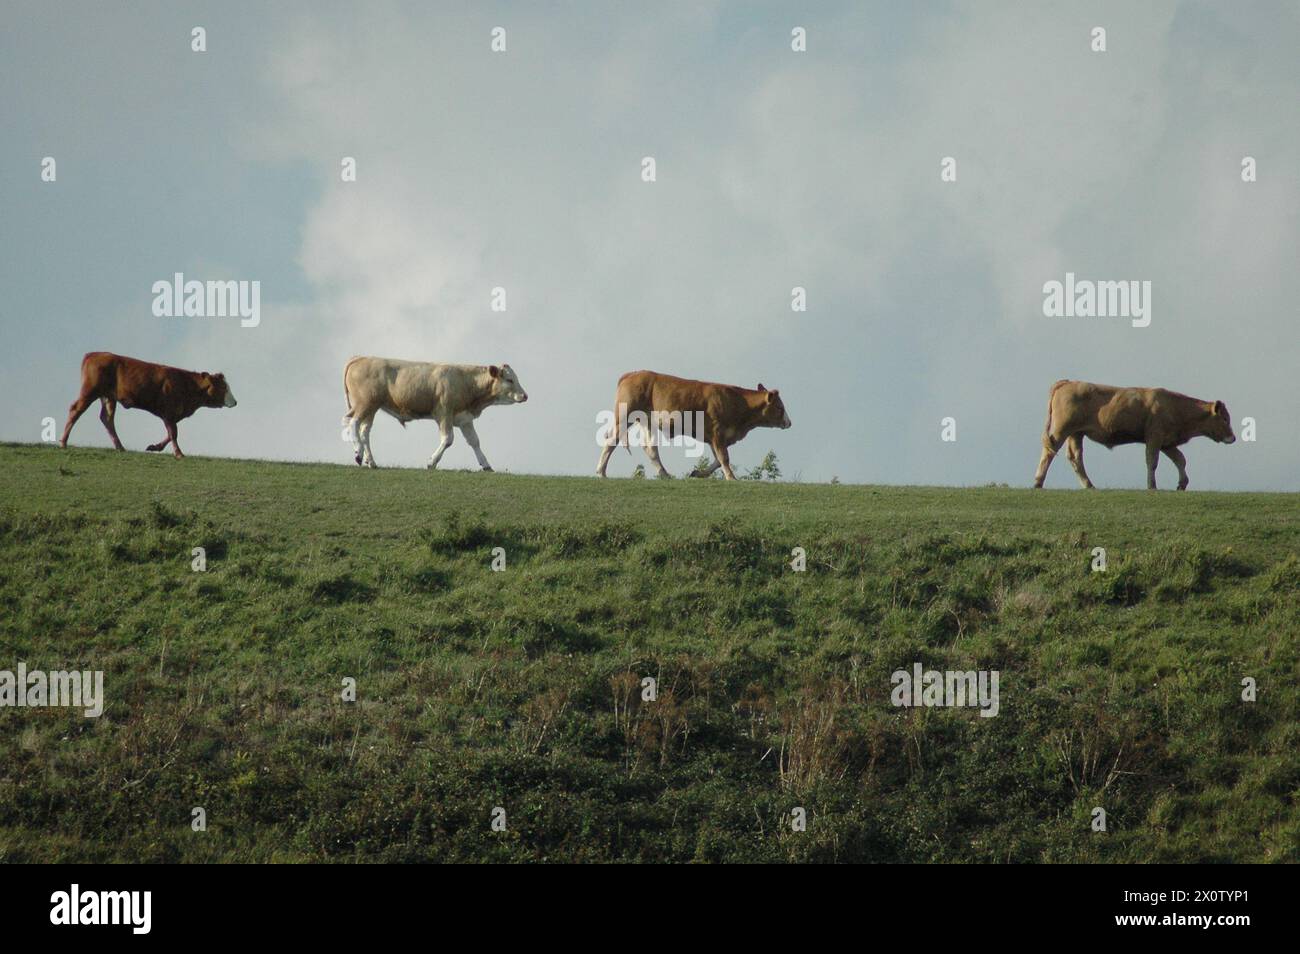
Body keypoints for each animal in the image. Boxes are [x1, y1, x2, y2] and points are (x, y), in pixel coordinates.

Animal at [60, 352, 237, 459]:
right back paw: (63, 442)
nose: (235, 402)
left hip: (109, 397)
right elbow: (173, 433)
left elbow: (170, 434)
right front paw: (178, 453)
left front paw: (154, 447)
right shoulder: (169, 412)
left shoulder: (171, 415)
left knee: (107, 419)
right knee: (76, 410)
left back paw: (120, 447)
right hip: (90, 391)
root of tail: (94, 354)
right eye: (223, 387)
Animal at [343, 357, 528, 470]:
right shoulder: (444, 413)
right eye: (510, 379)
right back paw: (358, 453)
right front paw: (431, 462)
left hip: (372, 408)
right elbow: (448, 439)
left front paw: (486, 464)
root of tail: (361, 357)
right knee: (352, 423)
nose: (525, 396)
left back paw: (371, 461)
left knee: (364, 431)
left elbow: (475, 441)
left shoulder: (464, 418)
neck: (465, 381)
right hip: (364, 404)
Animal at [596, 370, 791, 480]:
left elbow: (717, 461)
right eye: (780, 407)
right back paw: (601, 472)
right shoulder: (717, 432)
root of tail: (633, 373)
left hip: (646, 419)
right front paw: (731, 477)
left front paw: (699, 473)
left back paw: (665, 474)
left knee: (650, 447)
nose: (789, 422)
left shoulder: (714, 437)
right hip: (624, 415)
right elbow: (724, 458)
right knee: (611, 441)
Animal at [1033, 379, 1235, 490]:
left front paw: (1182, 484)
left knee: (1075, 458)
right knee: (1049, 452)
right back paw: (1038, 482)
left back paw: (1089, 485)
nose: (1233, 438)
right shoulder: (1154, 437)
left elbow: (1180, 460)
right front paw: (1152, 486)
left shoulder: (1167, 442)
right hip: (1062, 430)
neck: (1175, 407)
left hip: (1076, 434)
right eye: (1225, 419)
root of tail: (1068, 382)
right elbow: (1152, 461)